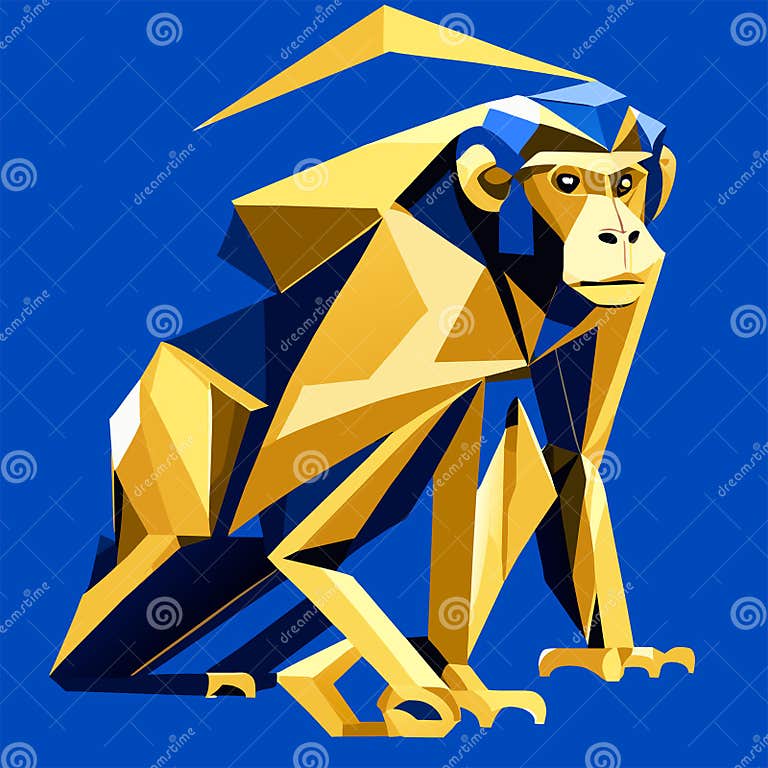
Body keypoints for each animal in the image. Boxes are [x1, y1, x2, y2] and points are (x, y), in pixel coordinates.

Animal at [51, 6, 694, 738]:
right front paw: (428, 694)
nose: (624, 236)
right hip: (184, 493)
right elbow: (304, 551)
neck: (522, 268)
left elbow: (570, 463)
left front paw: (602, 657)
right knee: (143, 593)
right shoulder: (430, 321)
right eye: (566, 181)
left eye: (627, 182)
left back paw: (297, 679)